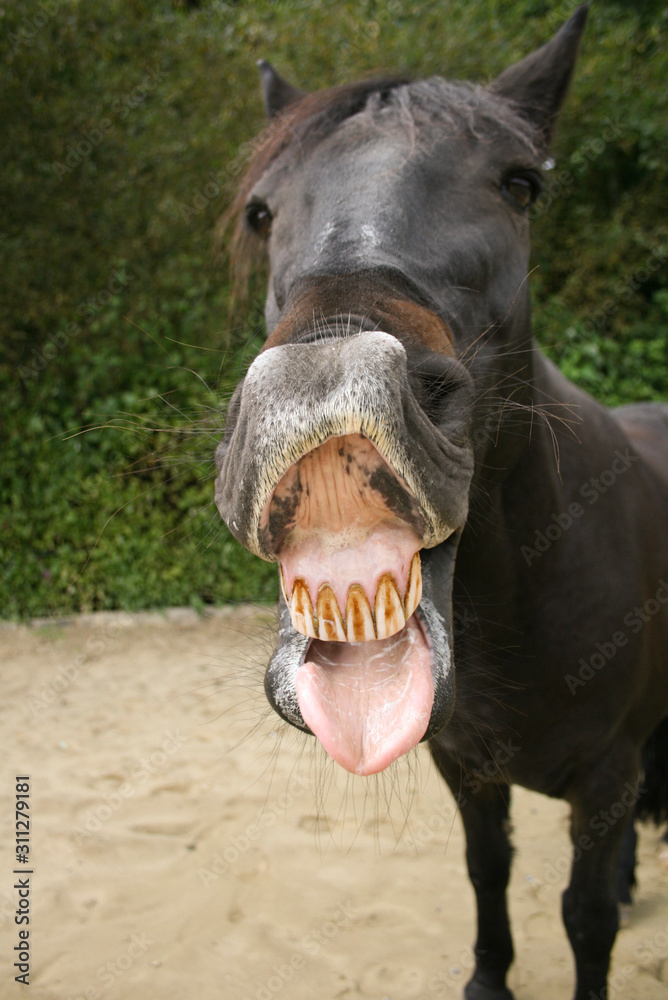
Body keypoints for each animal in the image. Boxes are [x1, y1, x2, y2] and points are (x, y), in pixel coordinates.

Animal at [214, 7, 668, 999]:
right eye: (263, 210)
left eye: (521, 184)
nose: (322, 383)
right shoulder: (465, 766)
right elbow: (486, 870)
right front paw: (488, 978)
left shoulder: (607, 774)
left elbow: (583, 920)